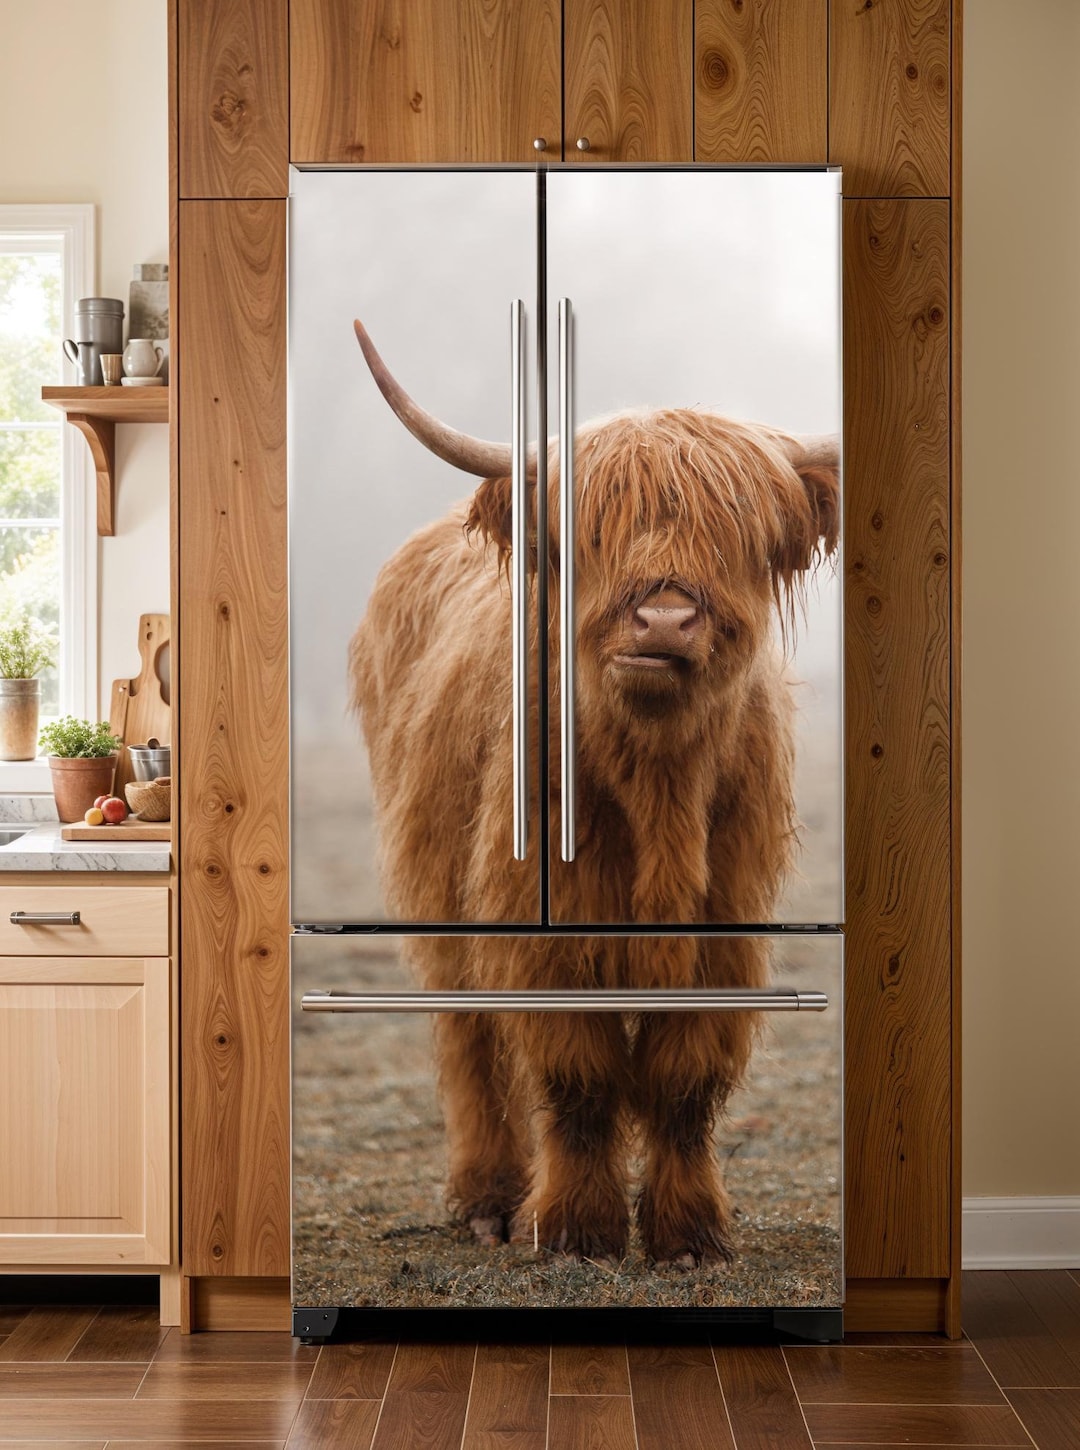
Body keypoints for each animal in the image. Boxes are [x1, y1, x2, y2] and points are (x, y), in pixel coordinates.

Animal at [349, 320, 840, 1267]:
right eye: (595, 531)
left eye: (735, 530)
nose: (664, 619)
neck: (658, 787)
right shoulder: (541, 919)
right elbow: (577, 1072)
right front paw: (577, 1229)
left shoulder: (730, 918)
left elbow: (688, 1079)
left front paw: (689, 1234)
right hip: (435, 883)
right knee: (467, 1038)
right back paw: (488, 1200)